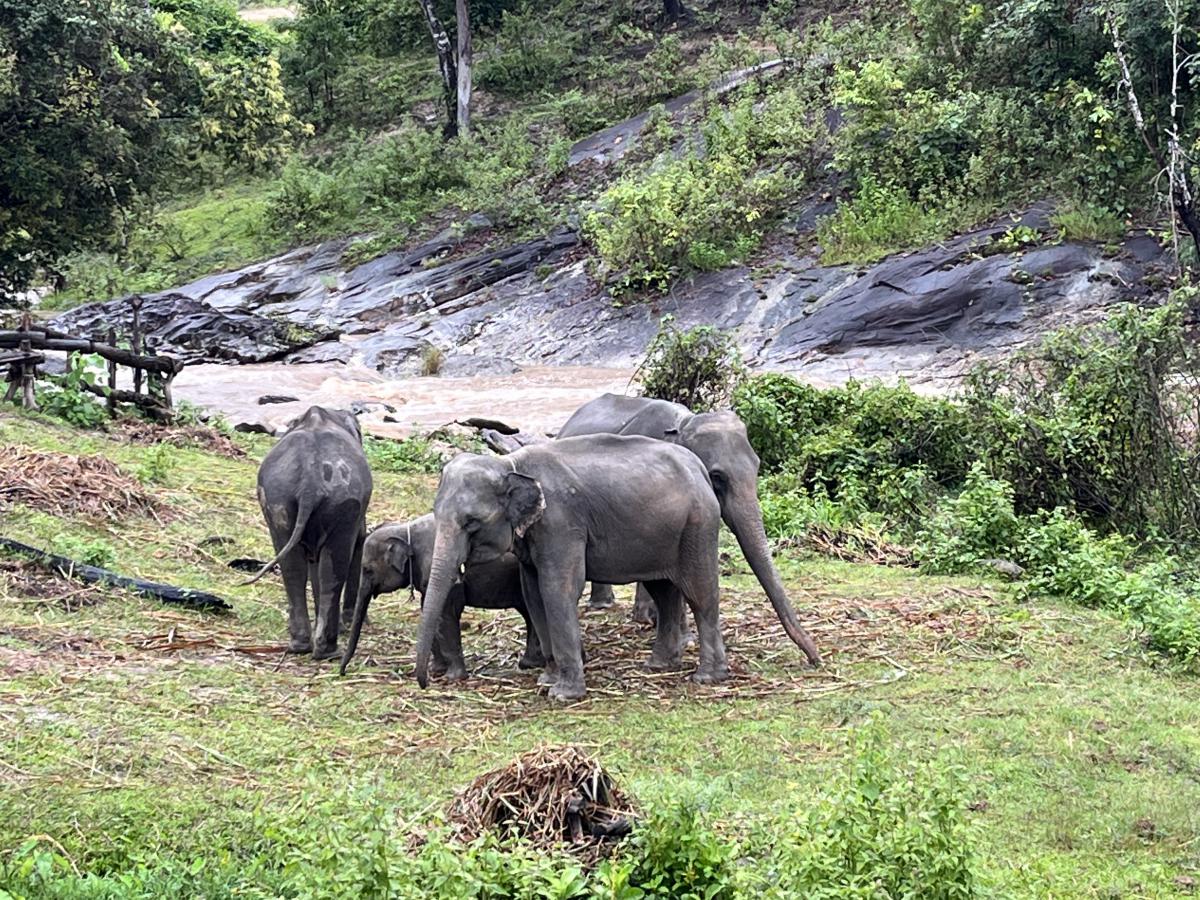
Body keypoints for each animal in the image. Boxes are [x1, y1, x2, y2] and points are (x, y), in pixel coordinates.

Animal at [245, 406, 372, 661]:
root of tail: (309, 483)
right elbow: (359, 542)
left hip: (278, 499)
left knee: (292, 567)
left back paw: (301, 645)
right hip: (342, 503)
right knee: (333, 567)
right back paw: (328, 651)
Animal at [339, 514, 544, 679]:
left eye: (367, 570)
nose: (342, 672)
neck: (405, 529)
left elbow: (446, 614)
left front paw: (452, 678)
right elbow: (429, 612)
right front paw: (436, 670)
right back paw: (529, 664)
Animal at [414, 434, 726, 702]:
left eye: (471, 523)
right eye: (436, 513)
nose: (427, 681)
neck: (509, 465)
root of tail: (698, 466)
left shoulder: (560, 523)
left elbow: (557, 590)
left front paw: (563, 694)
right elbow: (534, 595)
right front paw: (547, 680)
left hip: (698, 525)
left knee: (700, 595)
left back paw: (707, 677)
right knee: (663, 592)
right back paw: (659, 665)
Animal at [557, 393, 822, 667]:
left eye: (758, 466)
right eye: (717, 476)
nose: (815, 660)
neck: (683, 424)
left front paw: (684, 638)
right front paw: (682, 639)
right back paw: (612, 609)